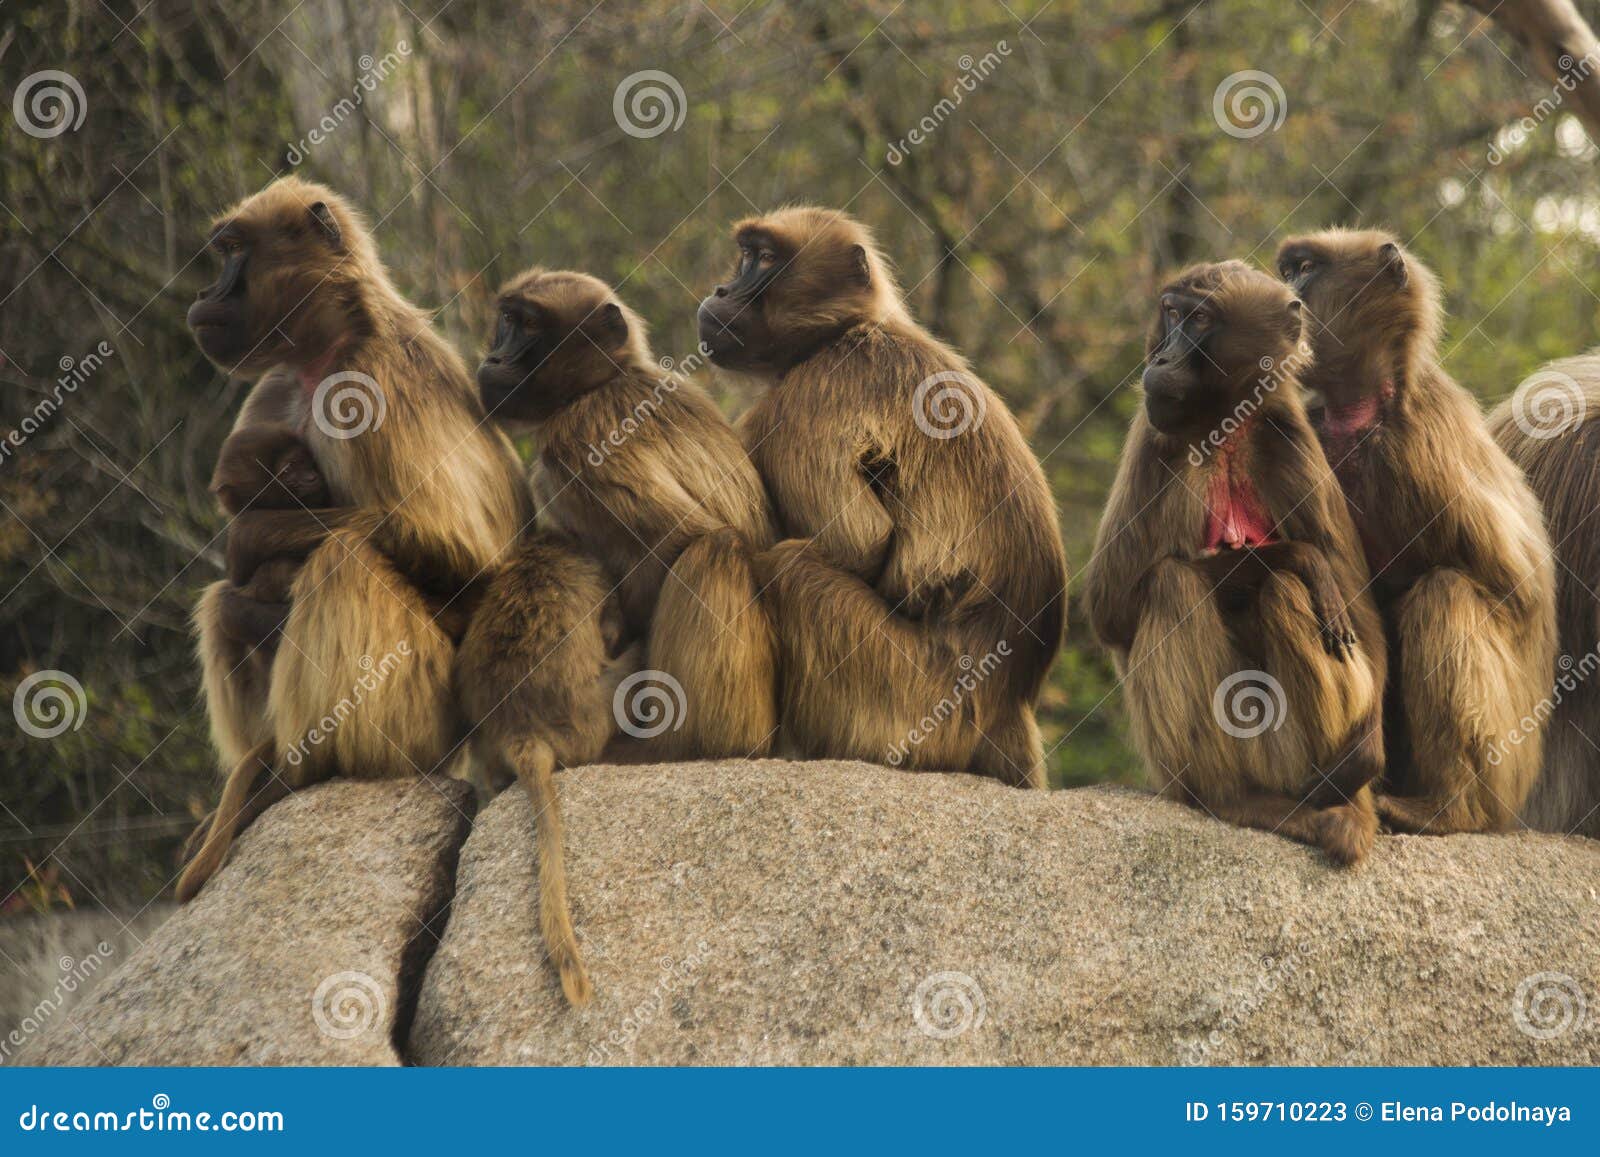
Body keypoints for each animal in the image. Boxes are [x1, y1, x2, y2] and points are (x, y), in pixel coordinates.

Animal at [176, 177, 531, 902]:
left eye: (231, 252)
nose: (203, 294)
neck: (329, 348)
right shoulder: (277, 386)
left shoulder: (369, 384)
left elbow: (470, 561)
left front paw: (249, 534)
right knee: (225, 600)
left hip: (424, 715)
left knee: (340, 559)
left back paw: (298, 772)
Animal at [476, 268, 778, 759]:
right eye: (506, 319)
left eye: (528, 324)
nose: (495, 357)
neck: (605, 381)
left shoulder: (579, 438)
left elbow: (678, 539)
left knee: (713, 547)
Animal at [695, 207, 1067, 787]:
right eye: (745, 255)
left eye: (765, 259)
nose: (723, 288)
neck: (847, 332)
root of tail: (1006, 699)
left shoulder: (806, 397)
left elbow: (862, 545)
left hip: (912, 701)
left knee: (792, 571)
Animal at [1083, 260, 1386, 864]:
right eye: (1170, 313)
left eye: (1199, 320)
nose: (1161, 359)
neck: (1224, 427)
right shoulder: (1154, 438)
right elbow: (1111, 607)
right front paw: (1296, 555)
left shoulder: (1292, 441)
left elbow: (1360, 614)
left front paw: (1372, 747)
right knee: (1175, 582)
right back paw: (1233, 799)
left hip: (1292, 760)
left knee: (1291, 596)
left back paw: (1332, 802)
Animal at [1276, 229, 1556, 835]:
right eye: (1287, 271)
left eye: (1303, 270)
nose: (1282, 296)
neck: (1368, 410)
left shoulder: (1416, 451)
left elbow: (1506, 587)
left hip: (1508, 764)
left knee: (1442, 595)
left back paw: (1448, 807)